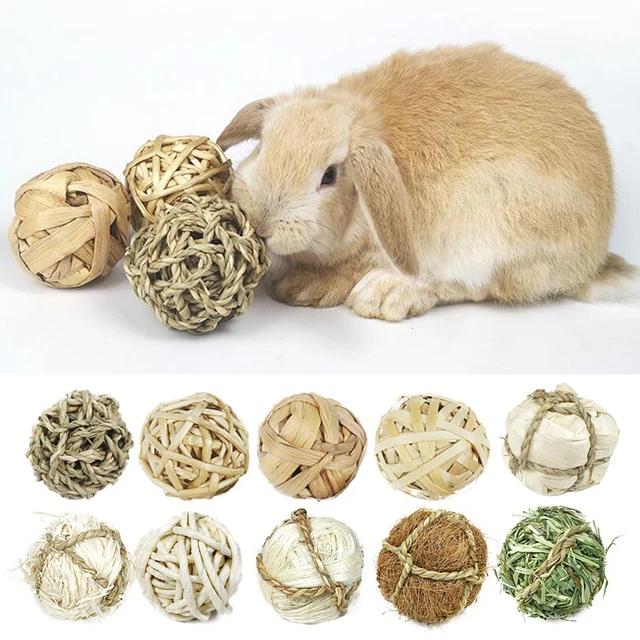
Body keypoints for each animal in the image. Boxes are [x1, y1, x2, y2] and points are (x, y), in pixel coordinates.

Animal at [217, 43, 639, 321]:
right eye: (263, 145)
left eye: (329, 176)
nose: (263, 222)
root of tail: (590, 261)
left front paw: (304, 288)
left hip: (493, 232)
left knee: (472, 287)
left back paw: (386, 295)